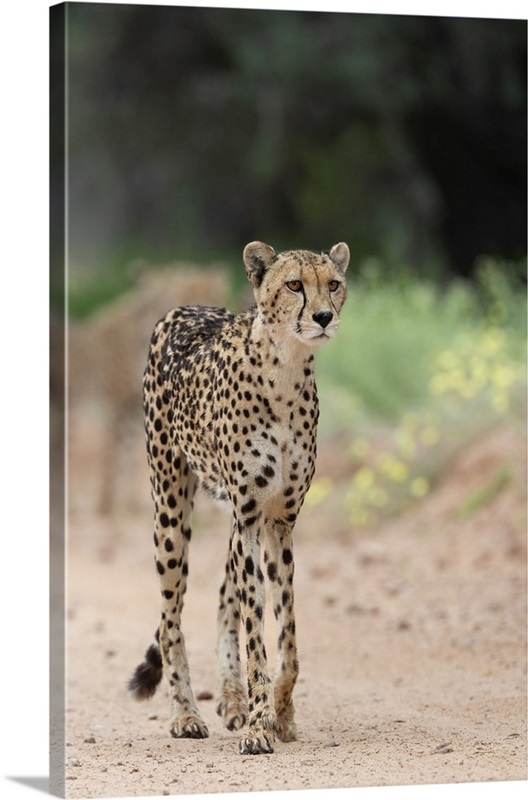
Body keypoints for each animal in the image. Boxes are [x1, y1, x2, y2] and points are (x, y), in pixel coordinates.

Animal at [128, 240, 350, 755]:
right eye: (294, 285)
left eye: (333, 283)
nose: (324, 317)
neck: (286, 372)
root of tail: (185, 307)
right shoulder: (251, 516)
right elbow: (256, 629)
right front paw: (258, 724)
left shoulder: (279, 521)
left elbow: (286, 633)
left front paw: (279, 713)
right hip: (170, 509)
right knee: (170, 619)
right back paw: (187, 714)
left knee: (224, 595)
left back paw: (231, 698)